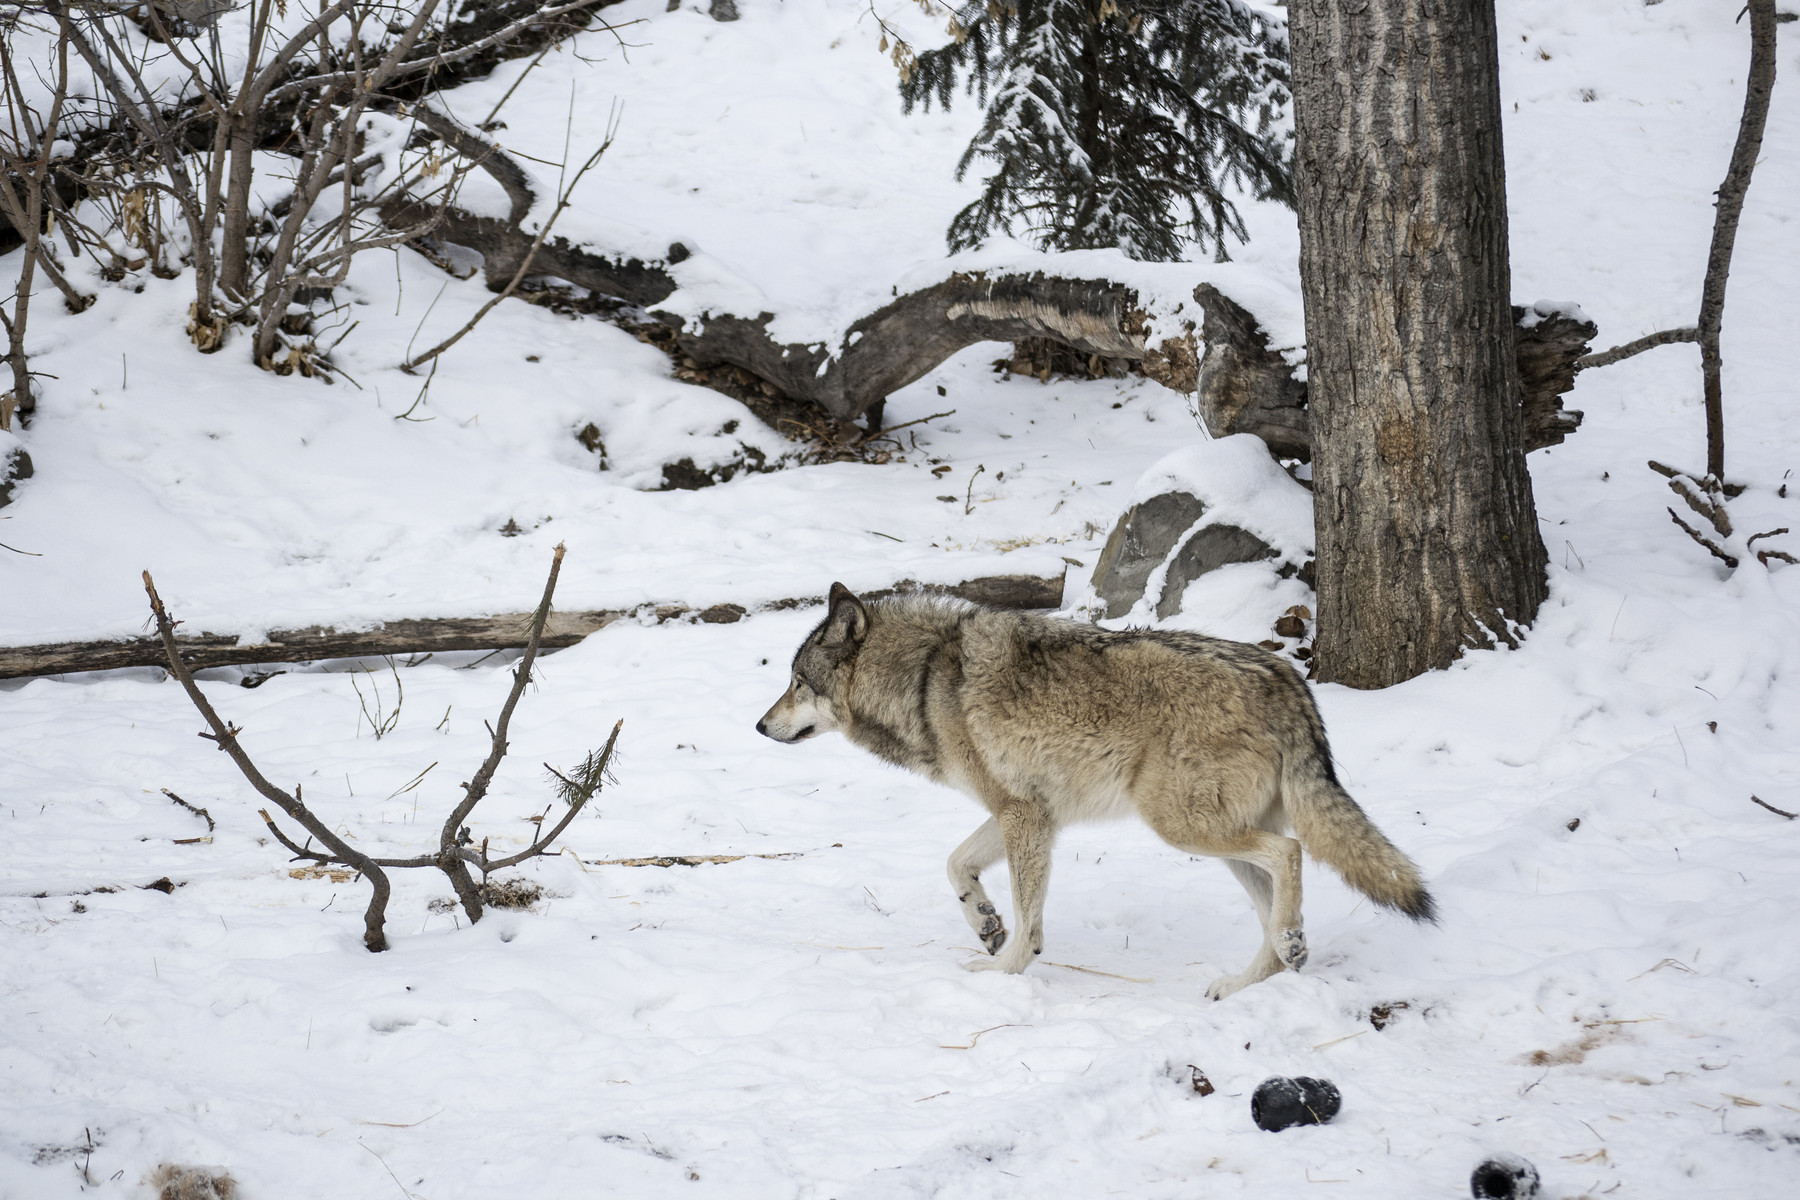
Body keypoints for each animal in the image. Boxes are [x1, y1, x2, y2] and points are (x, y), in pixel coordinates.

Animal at [756, 583, 1435, 999]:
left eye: (796, 683)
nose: (760, 726)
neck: (922, 678)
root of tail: (1287, 676)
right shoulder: (1030, 814)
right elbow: (956, 866)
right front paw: (987, 925)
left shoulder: (1022, 815)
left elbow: (1026, 912)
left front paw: (1005, 969)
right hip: (1219, 841)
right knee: (1273, 897)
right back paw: (1252, 980)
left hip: (1183, 827)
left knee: (1290, 855)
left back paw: (1289, 944)